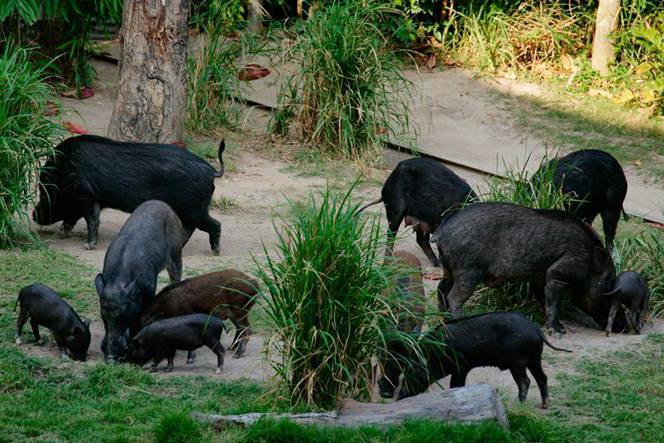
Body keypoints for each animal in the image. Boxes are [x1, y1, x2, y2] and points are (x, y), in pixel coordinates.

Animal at [31, 134, 223, 255]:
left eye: (44, 192)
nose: (33, 214)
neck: (63, 171)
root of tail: (211, 171)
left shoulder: (86, 194)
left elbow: (92, 220)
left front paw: (87, 246)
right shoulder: (83, 200)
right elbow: (73, 218)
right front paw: (63, 234)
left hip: (194, 208)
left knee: (214, 224)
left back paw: (216, 252)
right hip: (189, 210)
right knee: (189, 228)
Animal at [94, 201, 185, 364]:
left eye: (123, 313)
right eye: (103, 315)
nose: (111, 358)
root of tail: (166, 206)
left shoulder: (149, 293)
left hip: (176, 255)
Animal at [378, 312, 572, 410]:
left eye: (410, 374)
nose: (399, 397)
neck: (434, 354)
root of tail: (536, 329)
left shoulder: (461, 366)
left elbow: (456, 384)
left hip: (517, 361)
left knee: (525, 381)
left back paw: (520, 404)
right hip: (534, 358)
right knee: (542, 378)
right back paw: (545, 405)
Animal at [430, 203, 616, 334]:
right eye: (608, 284)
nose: (619, 328)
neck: (588, 258)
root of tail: (441, 232)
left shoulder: (540, 278)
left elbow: (545, 301)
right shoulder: (557, 274)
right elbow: (554, 302)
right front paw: (558, 332)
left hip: (449, 269)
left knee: (441, 290)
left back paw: (443, 320)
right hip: (469, 270)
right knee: (454, 297)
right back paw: (460, 322)